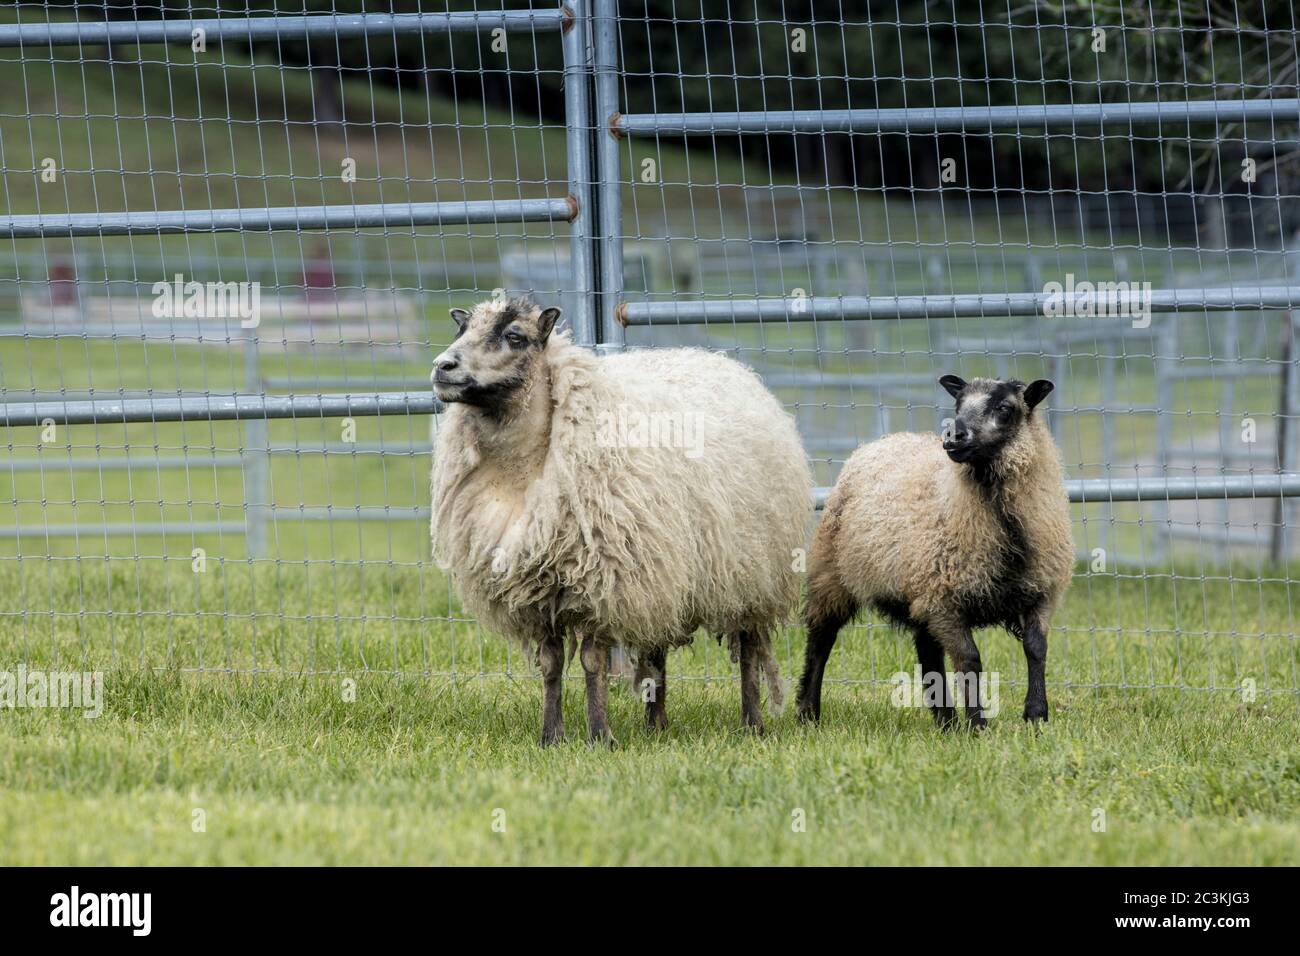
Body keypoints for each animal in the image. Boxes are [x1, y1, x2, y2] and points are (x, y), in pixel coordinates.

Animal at [429, 297, 811, 745]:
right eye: (461, 331)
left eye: (515, 336)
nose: (442, 367)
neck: (522, 471)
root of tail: (721, 361)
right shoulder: (539, 588)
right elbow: (551, 663)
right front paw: (550, 736)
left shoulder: (603, 580)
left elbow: (593, 662)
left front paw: (600, 735)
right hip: (662, 569)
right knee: (655, 644)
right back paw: (656, 723)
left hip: (751, 571)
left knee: (750, 648)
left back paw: (752, 723)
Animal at [795, 375, 1074, 729]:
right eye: (958, 405)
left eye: (1004, 407)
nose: (954, 435)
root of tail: (884, 440)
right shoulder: (946, 600)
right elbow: (969, 659)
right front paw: (978, 724)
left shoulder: (1042, 591)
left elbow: (1036, 648)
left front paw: (1036, 716)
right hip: (832, 573)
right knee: (821, 639)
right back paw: (808, 712)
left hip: (920, 589)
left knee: (928, 650)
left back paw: (946, 721)